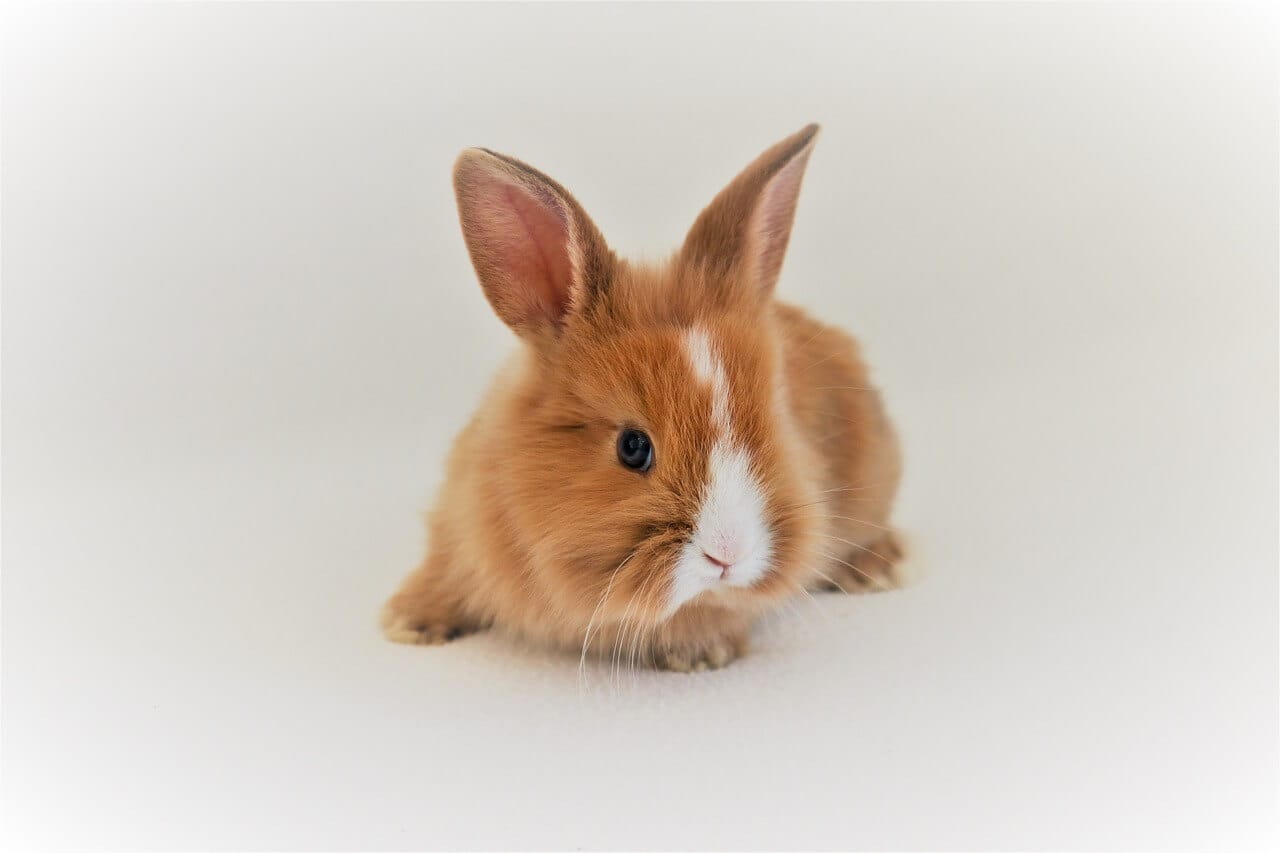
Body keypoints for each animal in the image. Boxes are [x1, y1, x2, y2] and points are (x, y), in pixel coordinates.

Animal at [381, 123, 902, 672]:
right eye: (633, 447)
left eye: (773, 430)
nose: (728, 555)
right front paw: (407, 622)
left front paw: (701, 654)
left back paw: (878, 569)